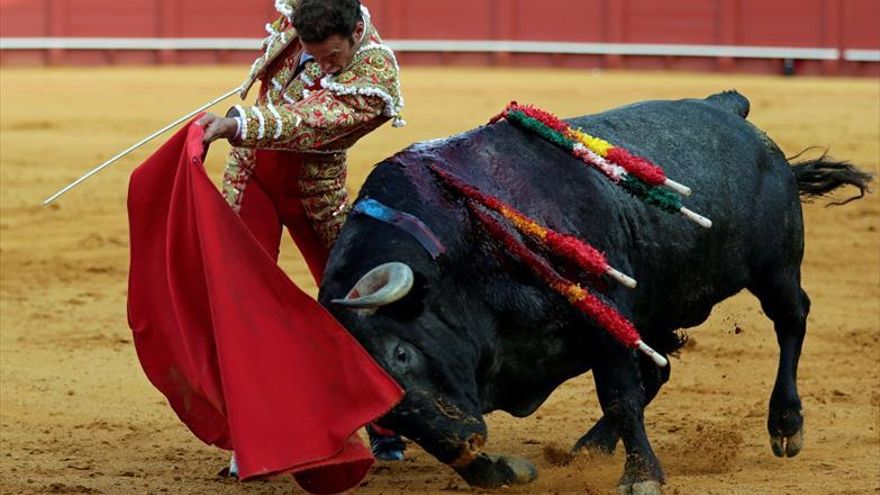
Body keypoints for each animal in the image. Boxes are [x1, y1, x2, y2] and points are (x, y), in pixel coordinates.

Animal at [316, 91, 872, 494]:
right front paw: (498, 471)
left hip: (775, 268)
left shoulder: (603, 310)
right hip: (659, 311)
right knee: (659, 371)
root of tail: (729, 107)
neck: (465, 243)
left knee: (791, 321)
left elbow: (620, 394)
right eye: (374, 407)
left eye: (401, 352)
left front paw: (642, 477)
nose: (464, 440)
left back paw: (786, 424)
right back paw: (587, 446)